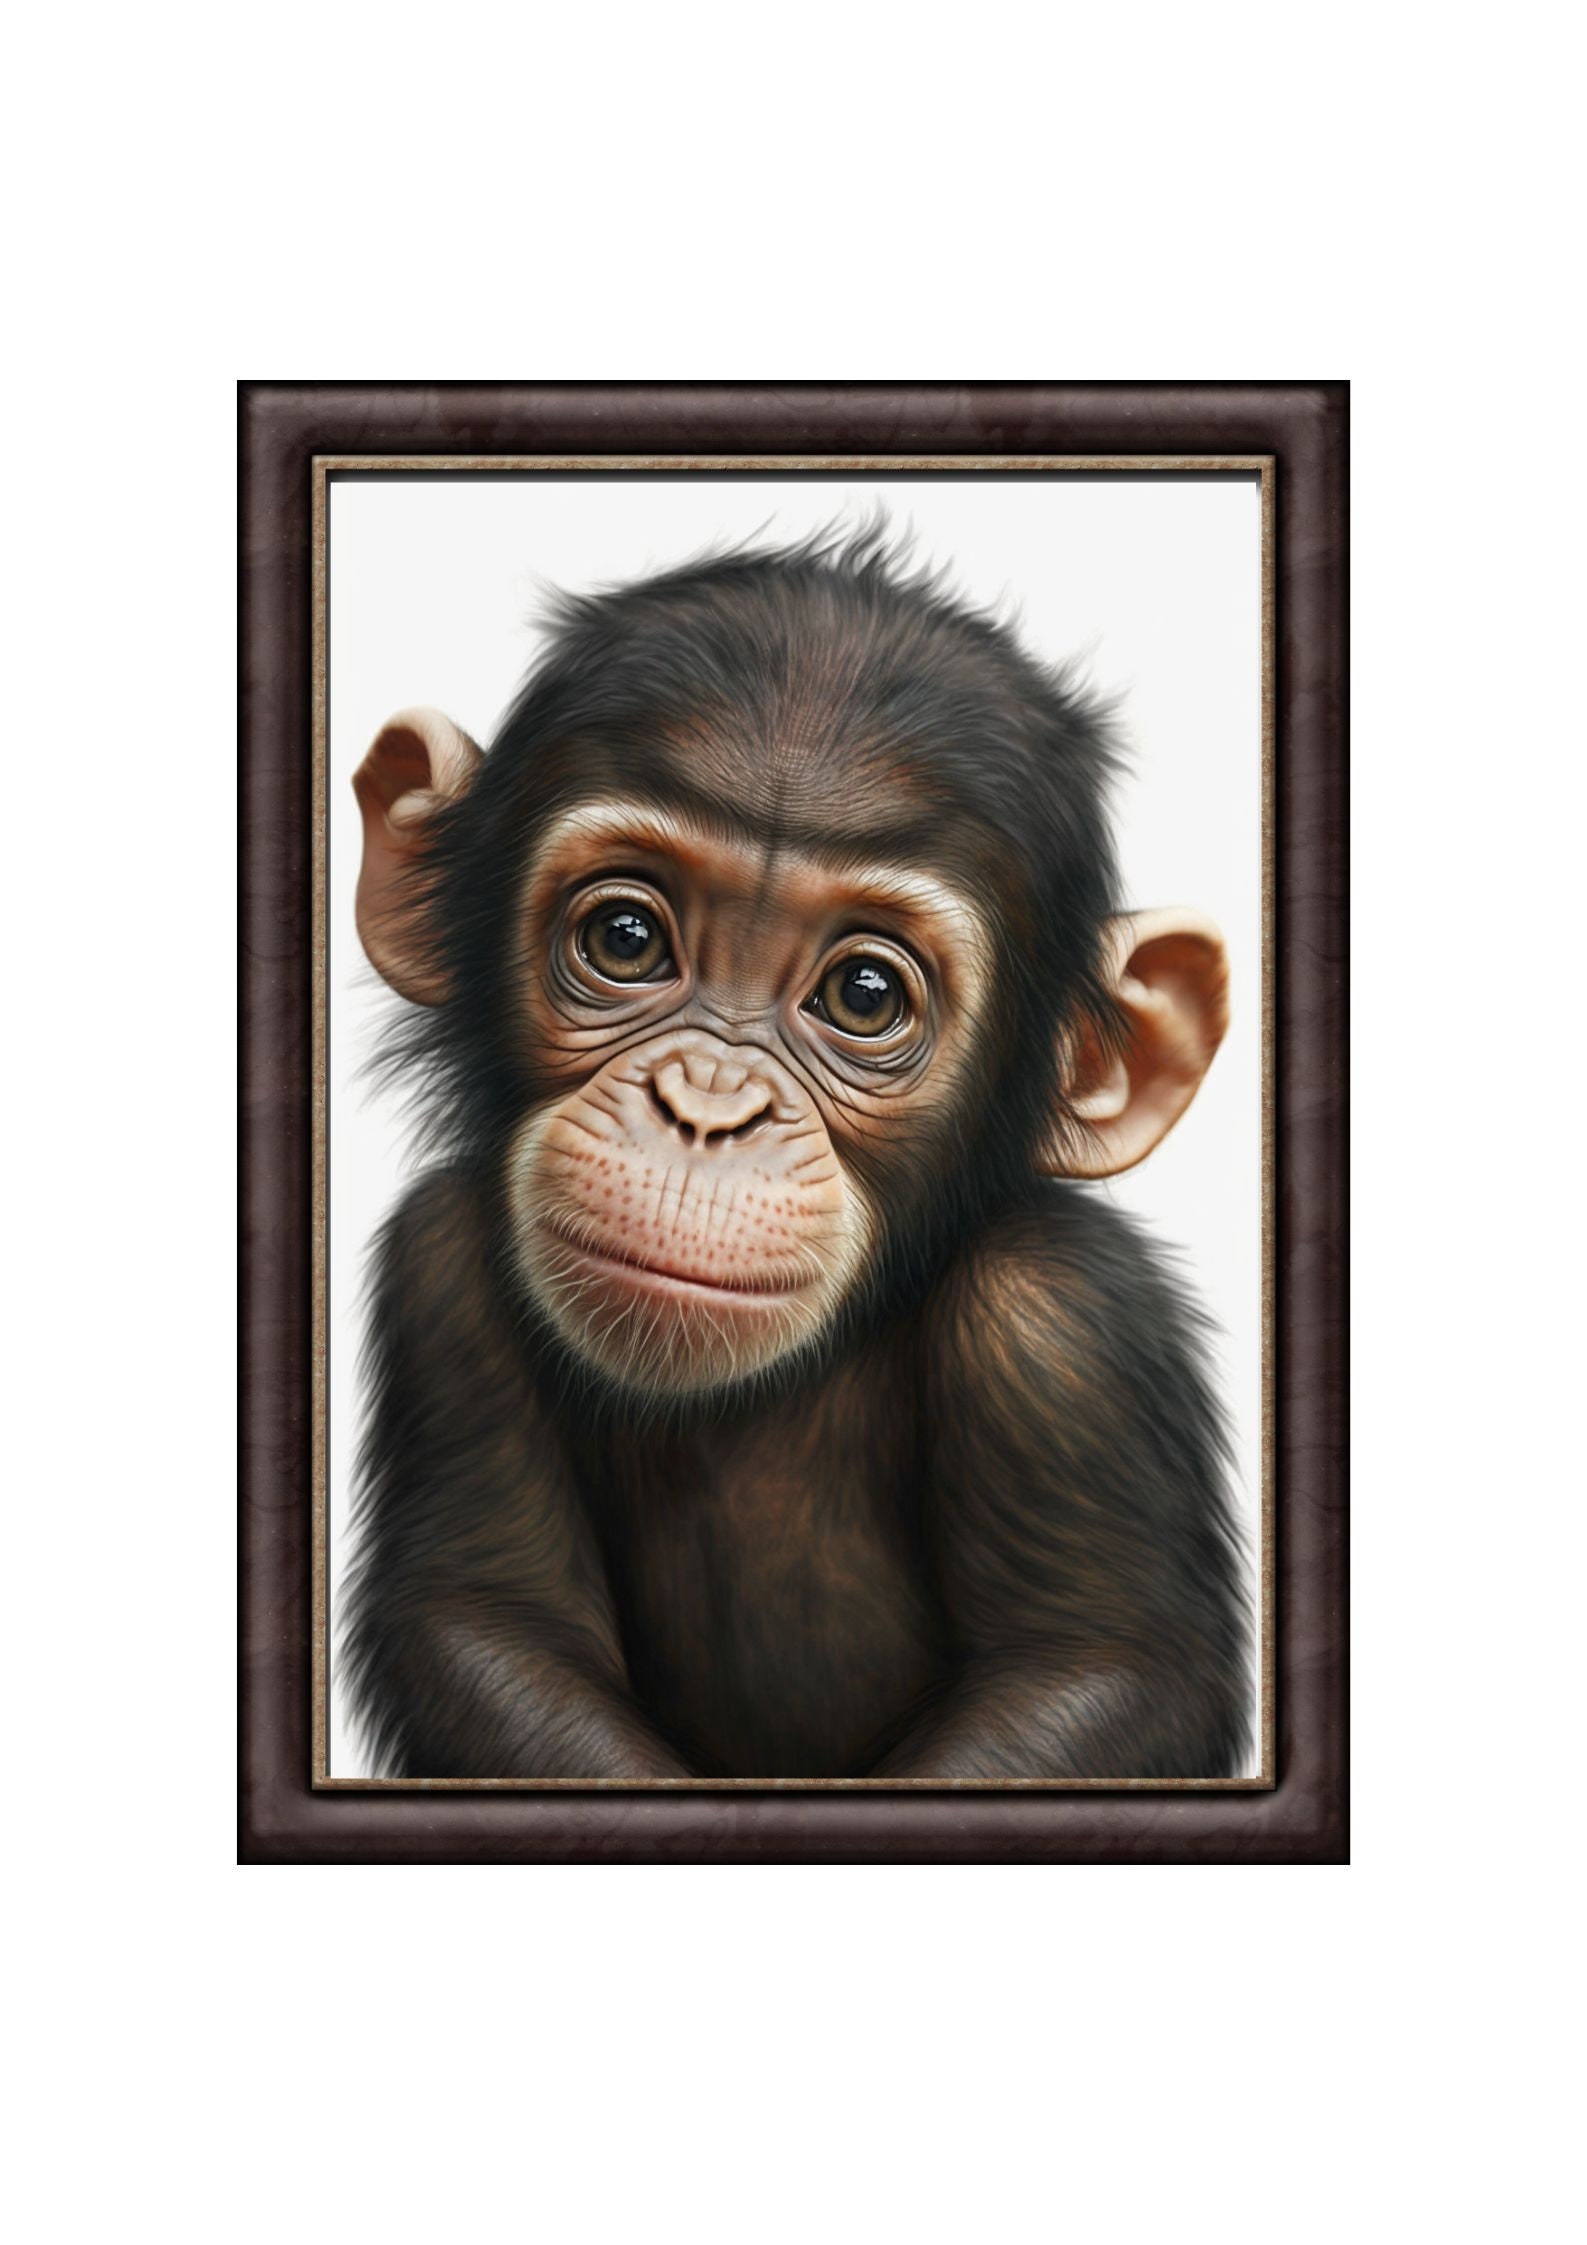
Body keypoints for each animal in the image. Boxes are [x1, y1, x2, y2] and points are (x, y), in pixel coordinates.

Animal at [344, 530, 1251, 1782]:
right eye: (626, 936)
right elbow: (487, 1617)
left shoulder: (1064, 1325)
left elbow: (1103, 1666)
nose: (707, 1108)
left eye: (863, 994)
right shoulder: (440, 1267)